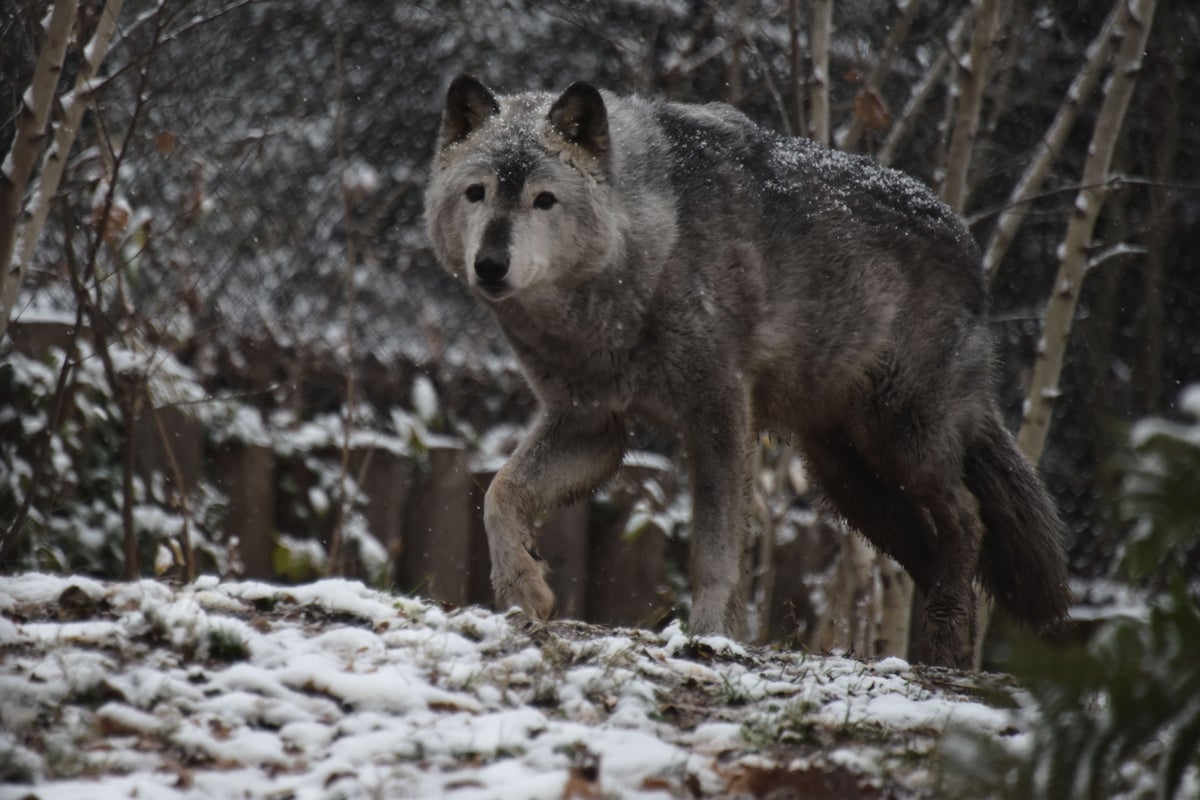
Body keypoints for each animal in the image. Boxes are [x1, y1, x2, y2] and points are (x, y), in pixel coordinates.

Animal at [424, 74, 1071, 667]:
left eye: (544, 200)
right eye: (477, 193)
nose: (490, 264)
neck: (638, 266)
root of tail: (970, 246)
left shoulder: (717, 412)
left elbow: (713, 550)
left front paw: (712, 636)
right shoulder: (591, 425)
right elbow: (499, 494)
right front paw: (522, 590)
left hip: (901, 449)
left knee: (968, 516)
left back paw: (946, 641)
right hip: (848, 482)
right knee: (929, 546)